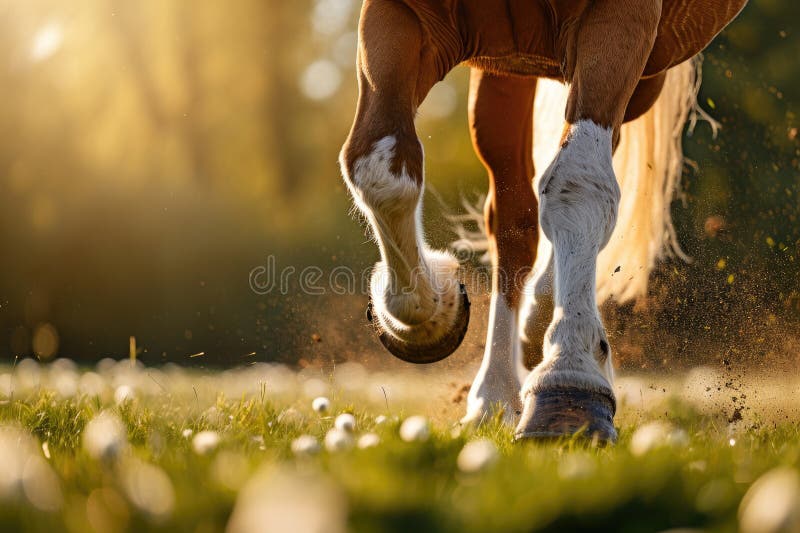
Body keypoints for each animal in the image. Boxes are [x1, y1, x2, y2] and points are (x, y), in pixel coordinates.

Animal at [339, 0, 747, 442]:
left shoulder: (623, 20)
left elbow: (579, 182)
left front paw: (569, 378)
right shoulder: (402, 14)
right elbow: (378, 171)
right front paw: (434, 312)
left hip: (646, 72)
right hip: (505, 76)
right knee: (513, 219)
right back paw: (495, 395)